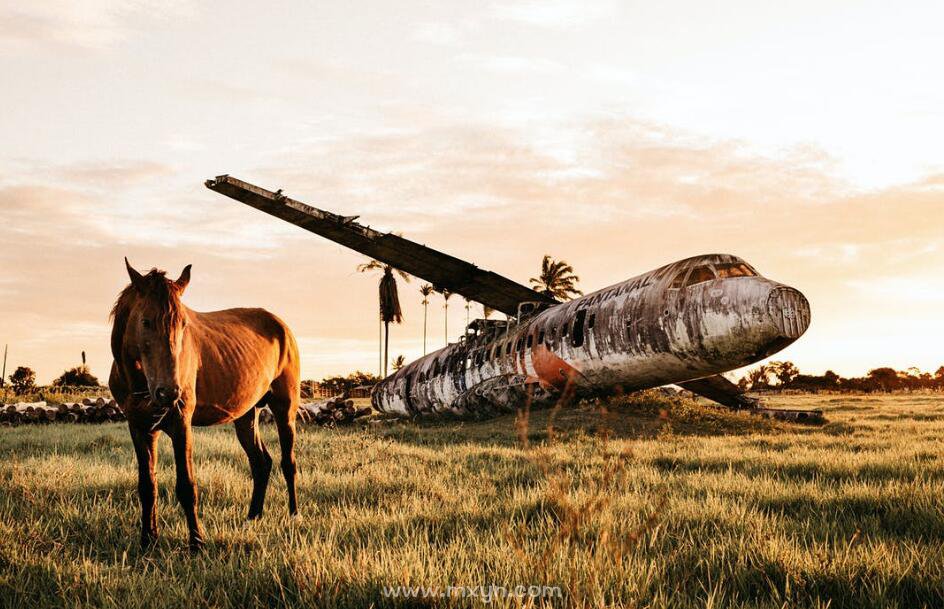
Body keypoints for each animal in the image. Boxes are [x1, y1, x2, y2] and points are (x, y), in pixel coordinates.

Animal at [110, 258, 302, 552]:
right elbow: (147, 486)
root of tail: (282, 327)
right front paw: (148, 541)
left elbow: (186, 486)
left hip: (285, 409)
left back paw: (294, 515)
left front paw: (197, 544)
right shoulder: (140, 426)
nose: (169, 392)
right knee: (261, 463)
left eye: (184, 324)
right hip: (246, 416)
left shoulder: (181, 422)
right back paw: (253, 516)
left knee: (287, 462)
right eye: (145, 321)